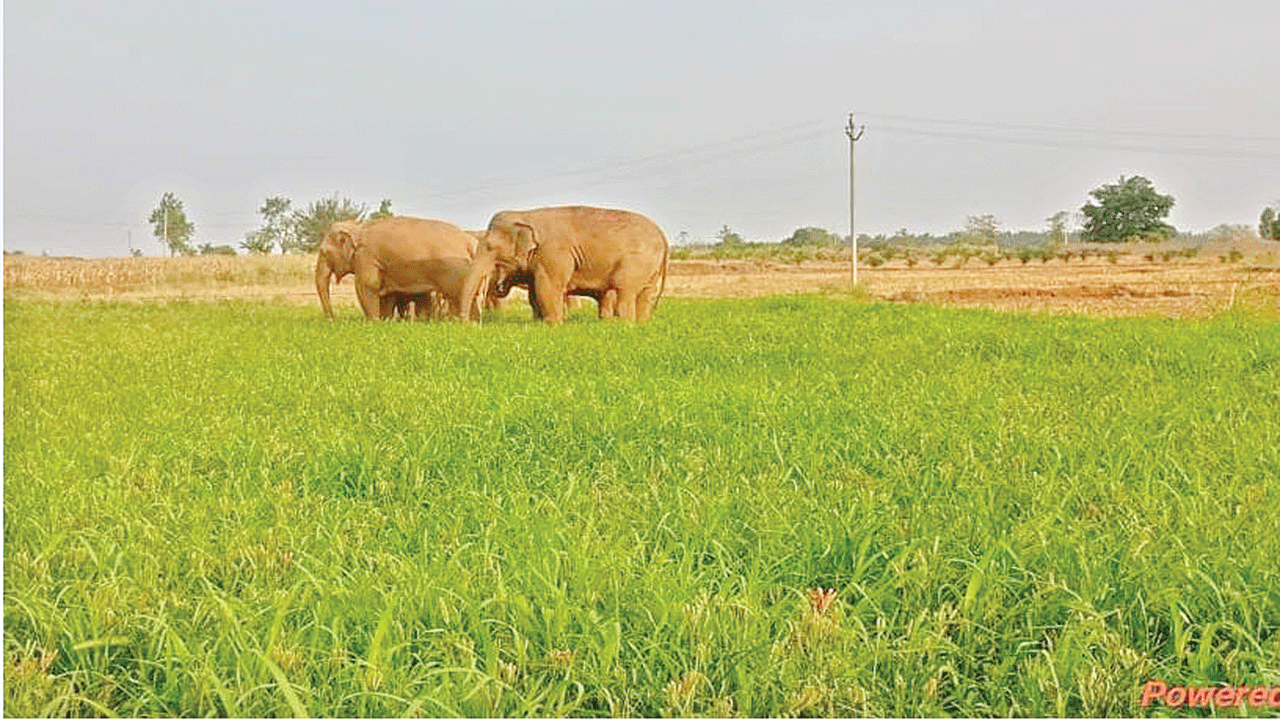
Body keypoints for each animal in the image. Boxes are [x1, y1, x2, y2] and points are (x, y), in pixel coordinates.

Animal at [314, 216, 479, 320]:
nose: (333, 320)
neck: (359, 227)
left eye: (323, 252)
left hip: (454, 271)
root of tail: (471, 242)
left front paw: (373, 322)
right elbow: (386, 293)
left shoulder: (366, 257)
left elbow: (368, 285)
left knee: (458, 295)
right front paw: (385, 321)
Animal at [459, 205, 669, 325]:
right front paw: (538, 323)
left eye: (490, 247)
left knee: (624, 288)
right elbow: (534, 292)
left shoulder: (554, 253)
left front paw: (553, 325)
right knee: (646, 295)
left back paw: (625, 325)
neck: (526, 215)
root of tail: (662, 234)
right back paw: (640, 324)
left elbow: (547, 287)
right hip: (651, 267)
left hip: (637, 261)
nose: (467, 324)